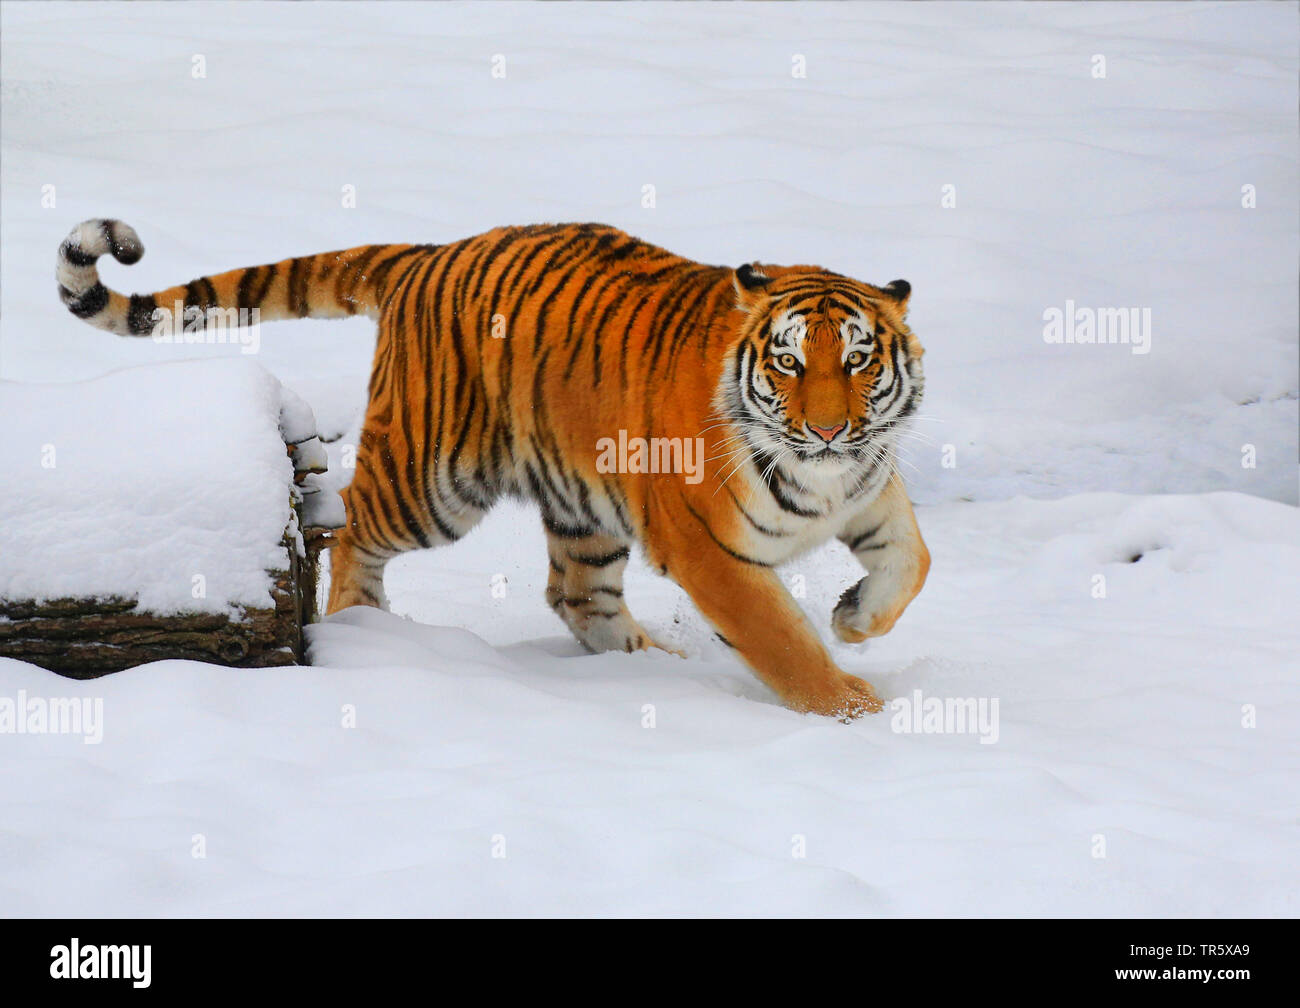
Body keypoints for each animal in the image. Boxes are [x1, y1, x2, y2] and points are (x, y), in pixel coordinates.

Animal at [56, 218, 930, 718]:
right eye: (788, 361)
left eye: (857, 361)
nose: (827, 428)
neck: (822, 475)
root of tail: (431, 253)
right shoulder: (709, 549)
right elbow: (779, 637)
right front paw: (850, 707)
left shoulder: (870, 488)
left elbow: (911, 562)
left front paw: (855, 618)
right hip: (434, 480)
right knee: (349, 524)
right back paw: (361, 624)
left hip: (583, 503)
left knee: (576, 594)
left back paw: (648, 665)